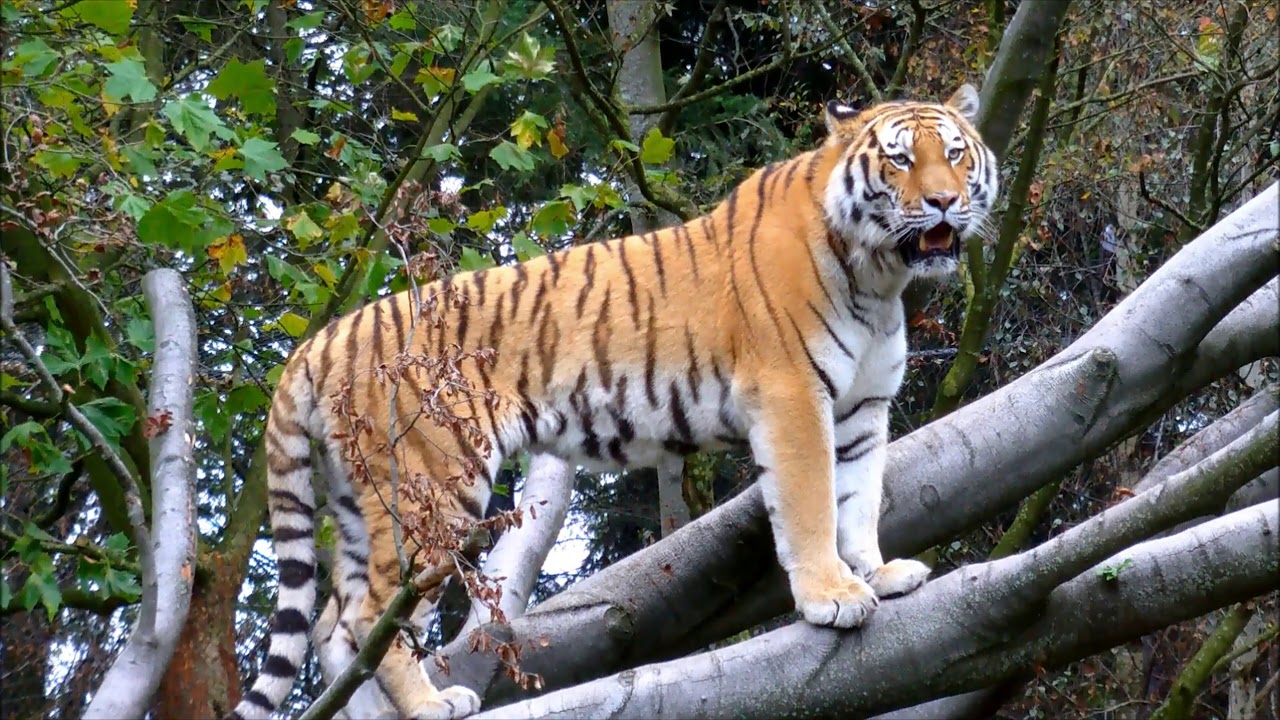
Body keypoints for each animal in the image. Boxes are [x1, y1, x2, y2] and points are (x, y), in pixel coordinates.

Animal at [227, 83, 999, 720]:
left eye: (955, 154)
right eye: (899, 160)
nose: (941, 202)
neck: (879, 276)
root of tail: (321, 340)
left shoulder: (862, 410)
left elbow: (859, 498)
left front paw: (879, 574)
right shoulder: (792, 398)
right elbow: (812, 505)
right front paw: (831, 597)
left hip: (363, 499)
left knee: (332, 623)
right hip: (433, 485)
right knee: (368, 615)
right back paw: (429, 706)